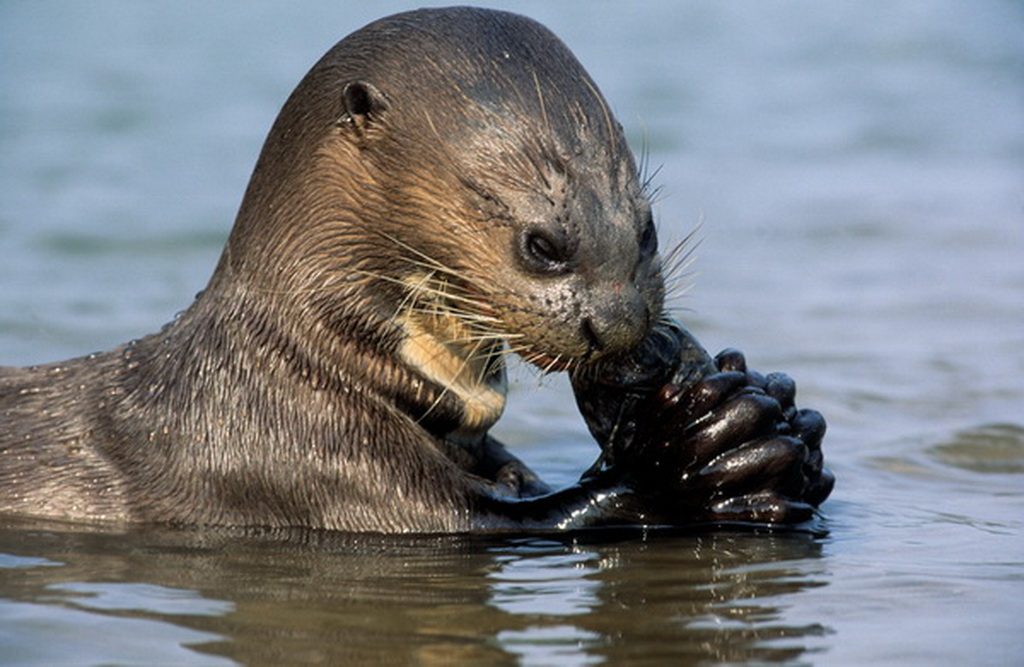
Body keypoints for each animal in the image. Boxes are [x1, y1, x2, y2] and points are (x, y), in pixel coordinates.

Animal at [0, 8, 832, 532]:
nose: (621, 325)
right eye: (541, 244)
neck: (297, 368)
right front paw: (707, 450)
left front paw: (789, 416)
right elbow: (531, 516)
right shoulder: (301, 465)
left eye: (648, 229)